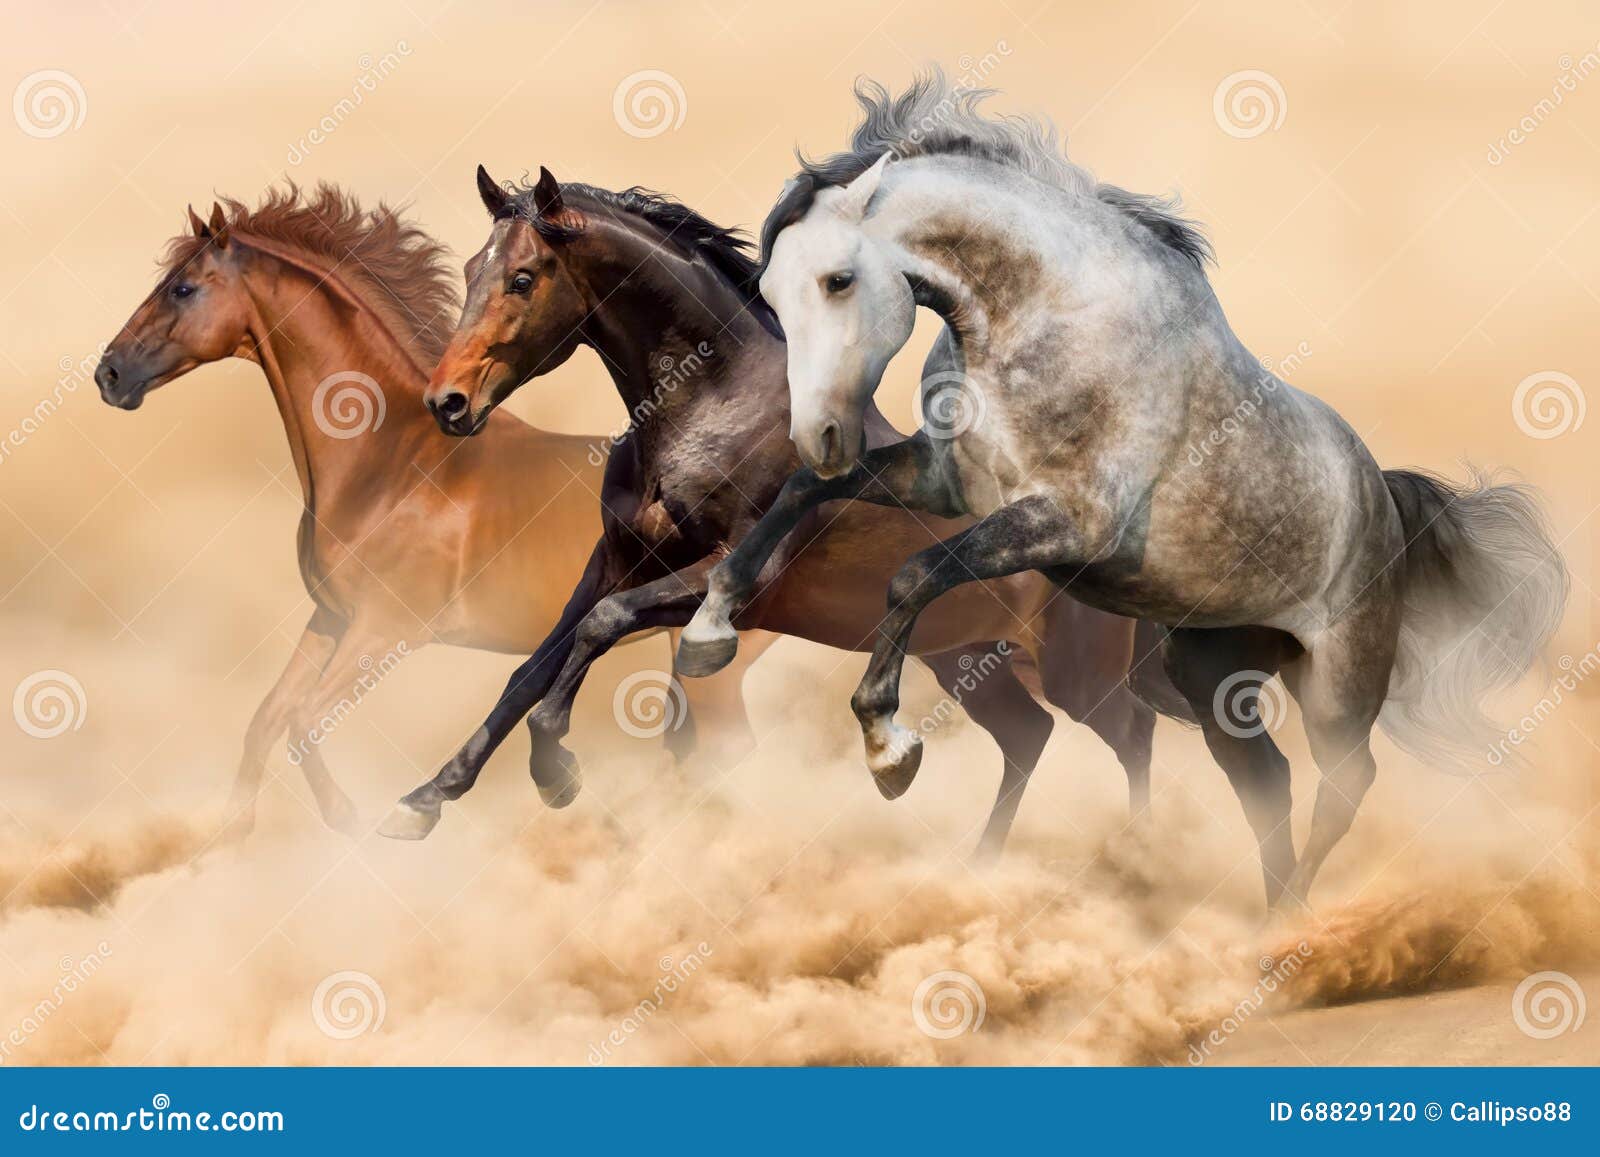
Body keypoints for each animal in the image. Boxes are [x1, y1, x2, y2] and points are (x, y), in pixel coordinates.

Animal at [95, 185, 772, 838]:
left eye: (182, 288)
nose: (109, 373)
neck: (390, 462)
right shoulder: (331, 618)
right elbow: (267, 719)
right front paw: (232, 837)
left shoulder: (383, 631)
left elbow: (303, 724)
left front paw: (357, 822)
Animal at [379, 164, 1194, 850]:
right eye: (470, 270)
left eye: (522, 278)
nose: (448, 403)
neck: (710, 409)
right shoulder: (615, 559)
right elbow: (534, 665)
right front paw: (424, 800)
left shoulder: (733, 581)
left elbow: (599, 630)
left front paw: (554, 767)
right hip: (967, 658)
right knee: (1029, 736)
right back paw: (976, 857)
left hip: (1075, 670)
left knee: (1133, 732)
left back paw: (1140, 855)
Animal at [681, 73, 1569, 910]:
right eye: (771, 290)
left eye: (837, 280)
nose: (823, 435)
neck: (1044, 324)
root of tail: (1382, 498)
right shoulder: (946, 484)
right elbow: (803, 497)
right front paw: (707, 631)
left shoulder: (1068, 523)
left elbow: (913, 575)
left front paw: (888, 749)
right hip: (1212, 668)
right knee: (1265, 780)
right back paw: (1268, 919)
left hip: (1337, 686)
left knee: (1343, 788)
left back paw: (1297, 926)